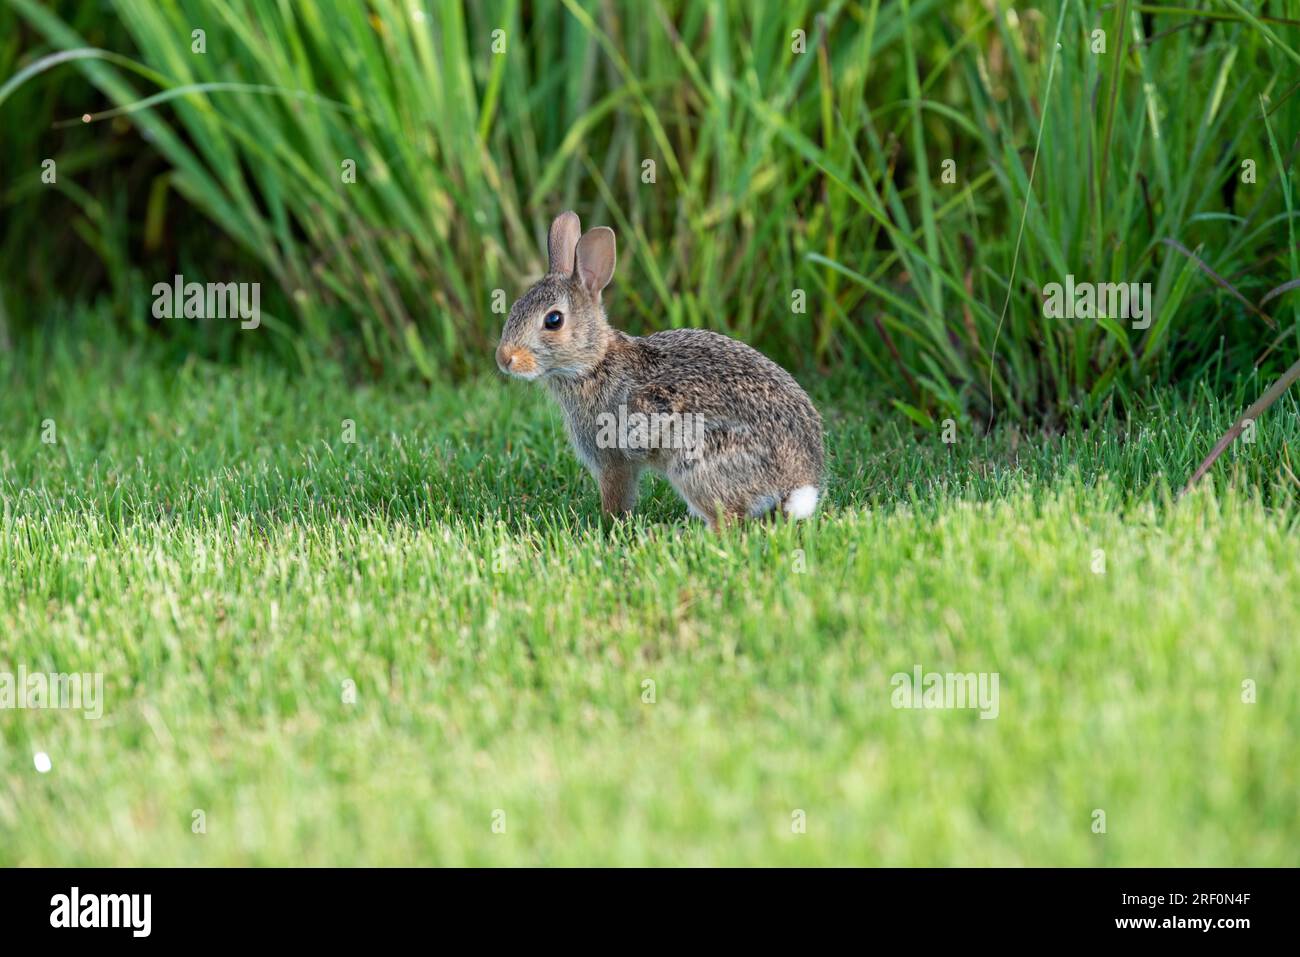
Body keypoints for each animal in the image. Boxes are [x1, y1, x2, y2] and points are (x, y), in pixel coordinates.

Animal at [495, 210, 824, 530]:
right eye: (516, 307)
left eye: (553, 320)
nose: (504, 358)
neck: (594, 364)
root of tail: (798, 480)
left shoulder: (613, 459)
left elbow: (616, 495)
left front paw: (610, 525)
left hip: (696, 462)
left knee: (728, 521)